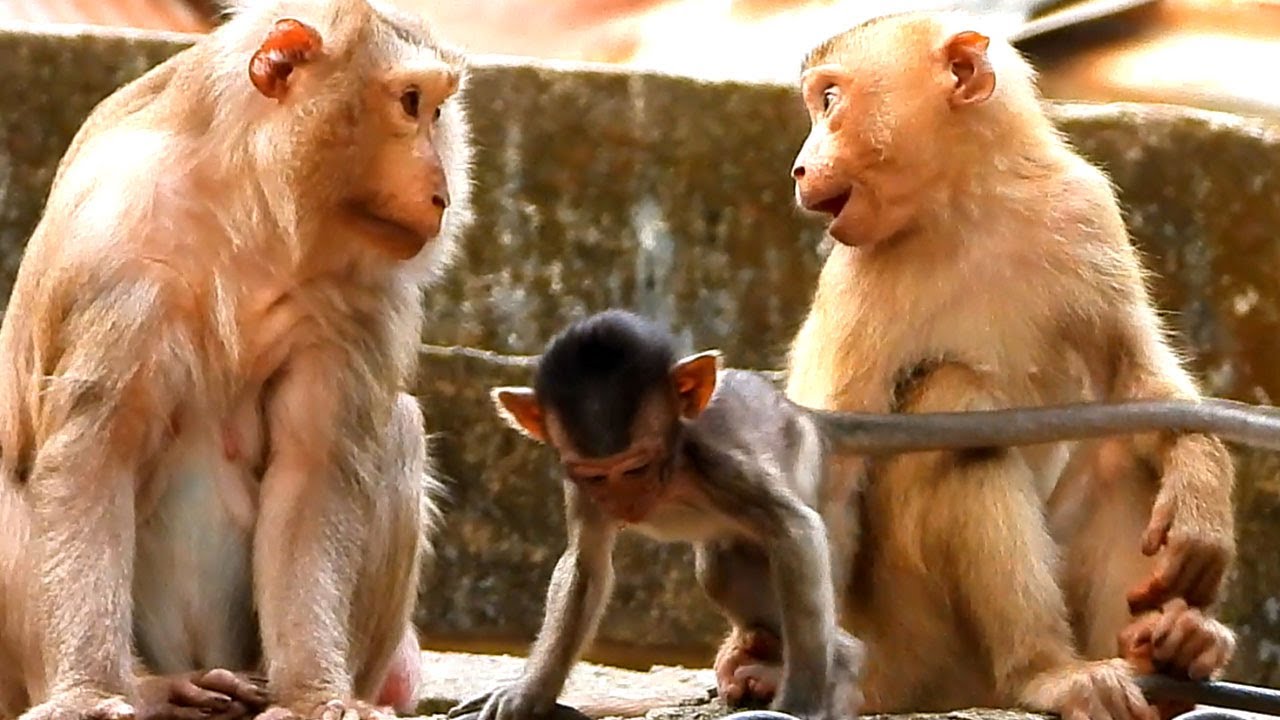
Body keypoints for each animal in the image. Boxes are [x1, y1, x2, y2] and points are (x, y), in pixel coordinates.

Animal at [0, 1, 470, 719]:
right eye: (410, 102)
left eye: (438, 111)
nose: (442, 193)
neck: (250, 211)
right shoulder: (115, 253)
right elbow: (89, 458)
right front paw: (88, 692)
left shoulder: (360, 299)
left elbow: (313, 471)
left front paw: (313, 695)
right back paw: (153, 688)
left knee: (398, 430)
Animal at [450, 309, 1275, 720]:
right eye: (598, 473)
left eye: (640, 465)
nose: (627, 501)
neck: (672, 469)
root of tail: (809, 418)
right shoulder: (575, 483)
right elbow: (586, 567)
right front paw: (526, 696)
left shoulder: (718, 462)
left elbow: (797, 533)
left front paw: (797, 704)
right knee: (724, 562)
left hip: (802, 467)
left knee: (790, 561)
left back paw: (828, 666)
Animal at [776, 10, 1239, 720]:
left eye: (829, 101)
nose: (800, 169)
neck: (965, 208)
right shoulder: (857, 280)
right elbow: (836, 465)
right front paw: (752, 661)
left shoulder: (1085, 210)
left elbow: (1133, 379)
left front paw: (1199, 483)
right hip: (903, 643)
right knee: (956, 405)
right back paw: (1046, 670)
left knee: (1120, 446)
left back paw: (1169, 651)